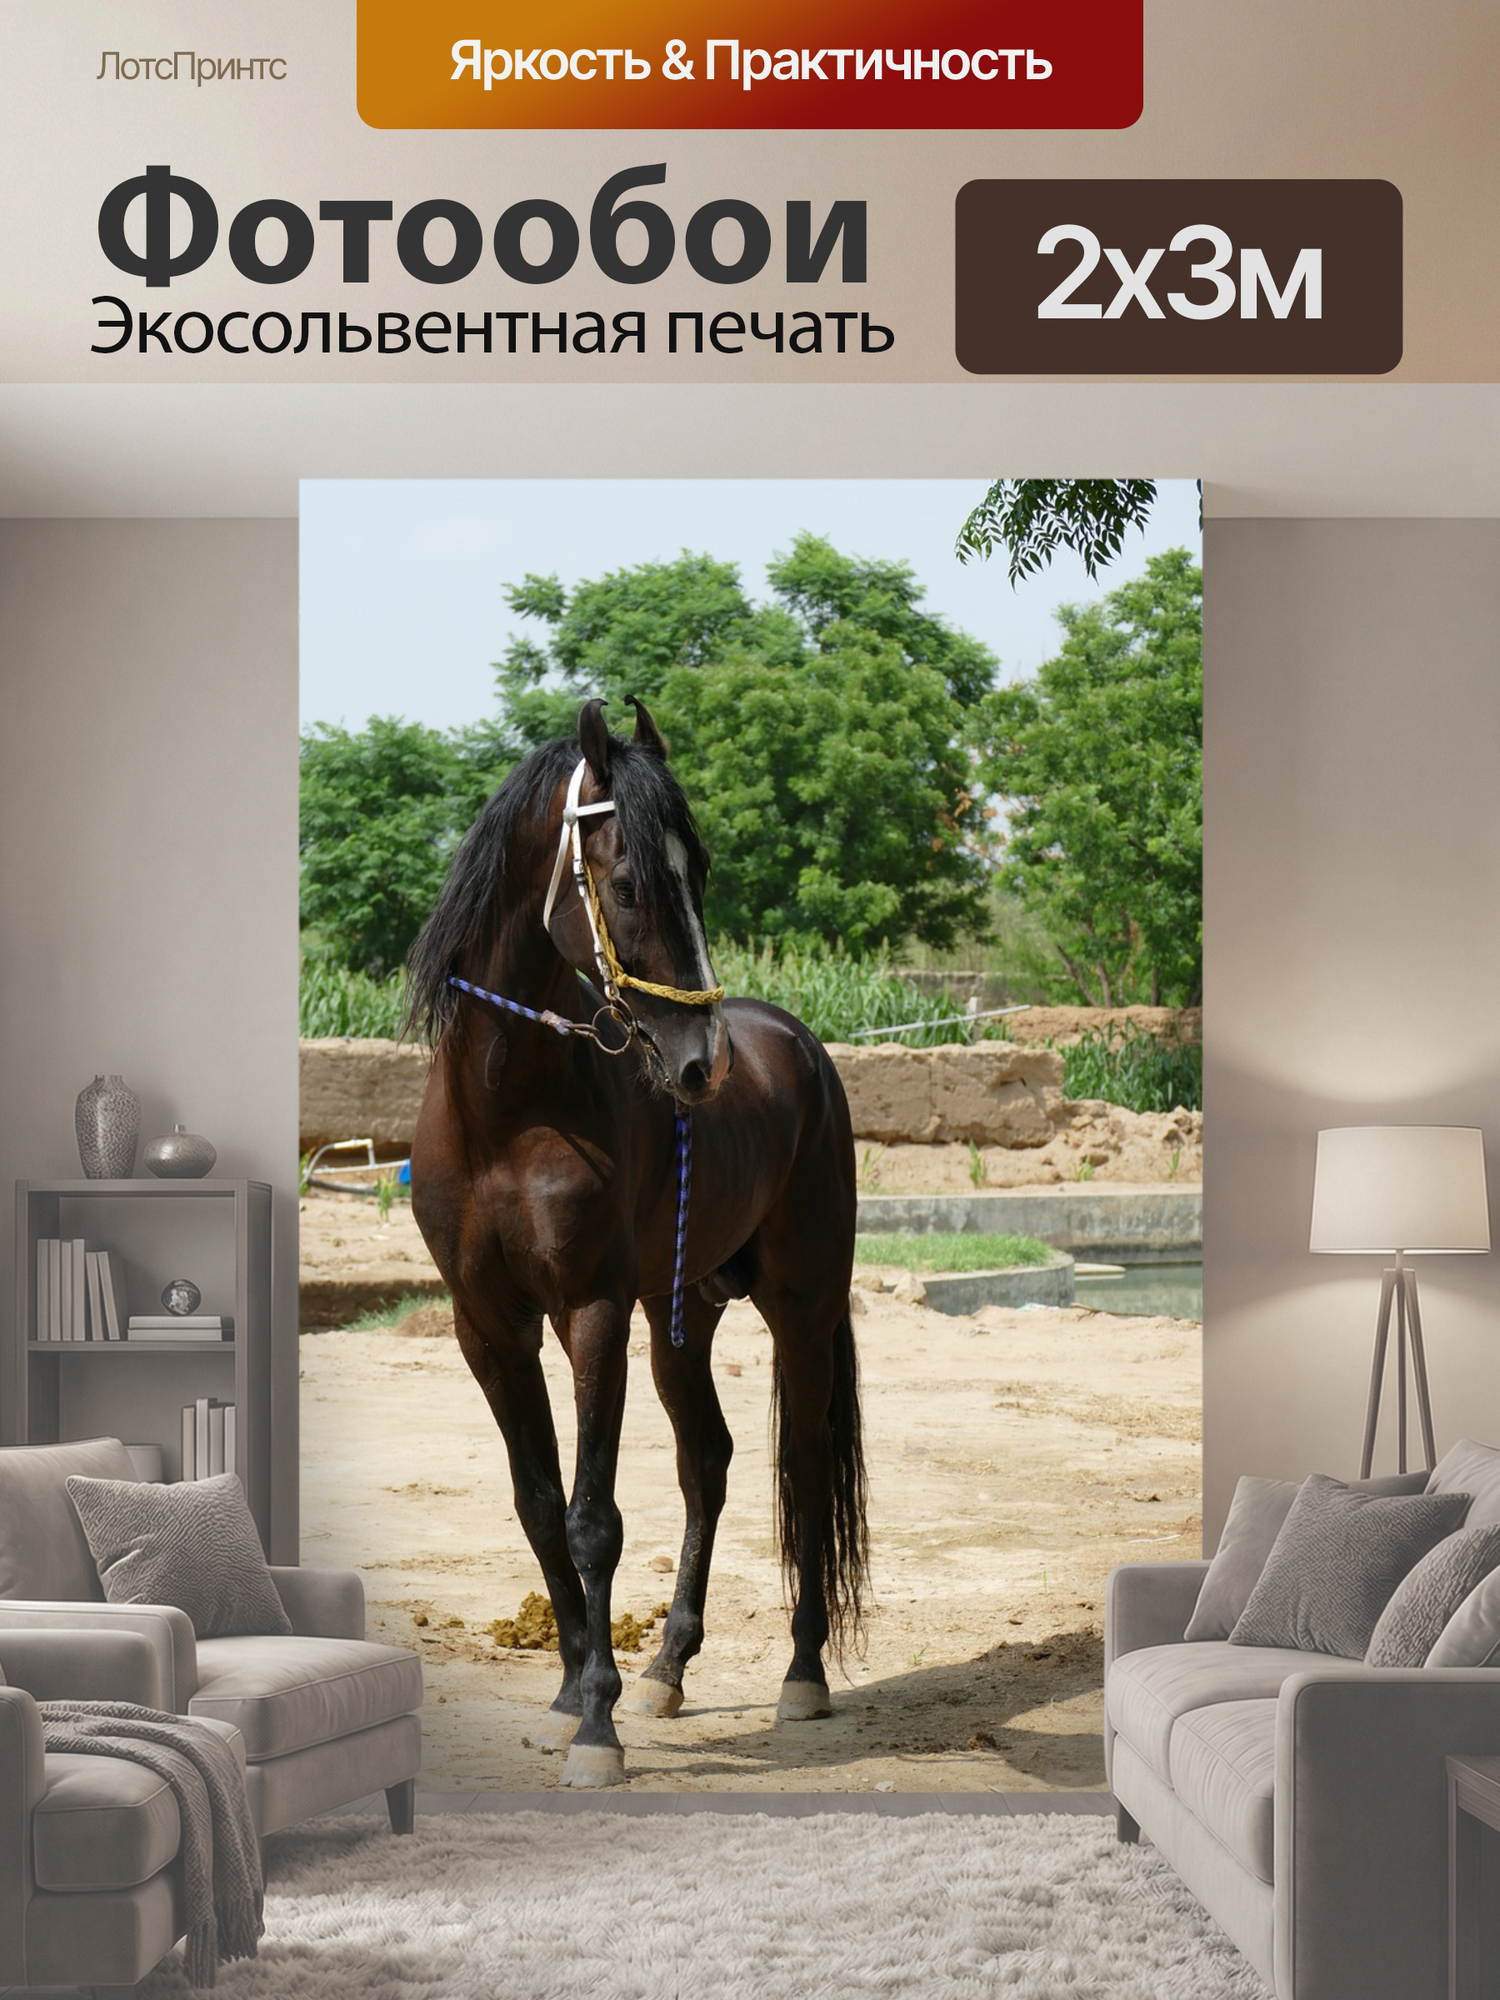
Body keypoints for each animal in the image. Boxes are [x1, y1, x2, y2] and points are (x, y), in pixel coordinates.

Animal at [405, 696, 868, 1787]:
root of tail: (800, 1045)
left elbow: (593, 1518)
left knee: (800, 1463)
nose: (703, 1064)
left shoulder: (592, 1313)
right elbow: (539, 1503)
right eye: (624, 883)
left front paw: (597, 1730)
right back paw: (667, 1667)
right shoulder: (486, 1324)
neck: (506, 1109)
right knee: (710, 1460)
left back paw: (801, 1675)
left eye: (699, 874)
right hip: (681, 1315)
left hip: (800, 1308)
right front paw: (576, 1688)